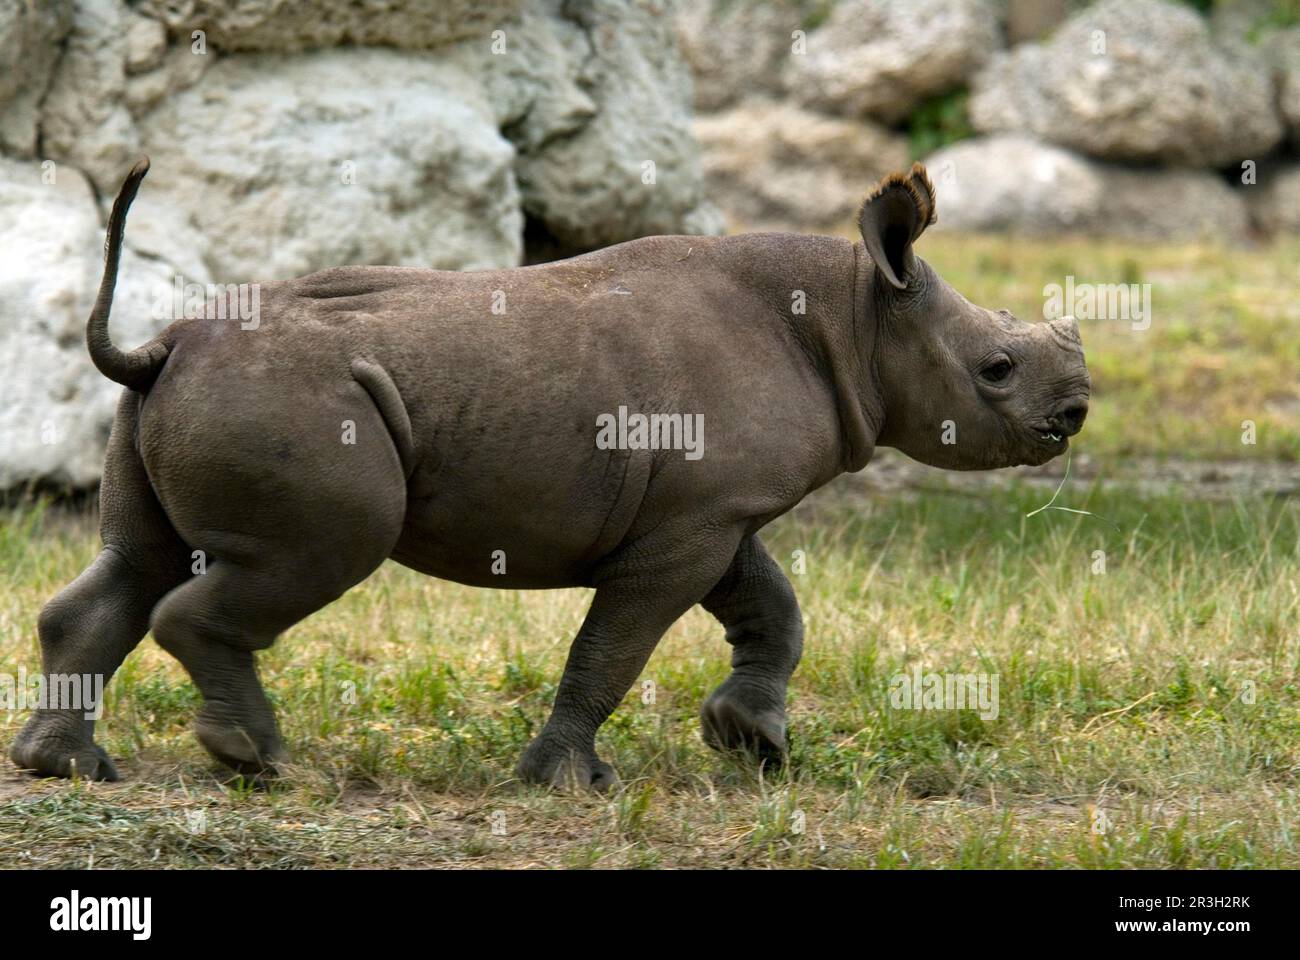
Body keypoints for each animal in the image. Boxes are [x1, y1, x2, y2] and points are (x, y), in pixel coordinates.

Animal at [10, 160, 1089, 789]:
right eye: (996, 369)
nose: (1074, 414)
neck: (856, 317)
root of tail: (158, 347)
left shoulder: (713, 511)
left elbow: (772, 610)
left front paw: (753, 746)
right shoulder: (687, 525)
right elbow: (611, 649)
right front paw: (566, 782)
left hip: (171, 405)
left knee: (135, 561)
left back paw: (70, 768)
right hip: (292, 406)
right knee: (310, 558)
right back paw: (262, 764)